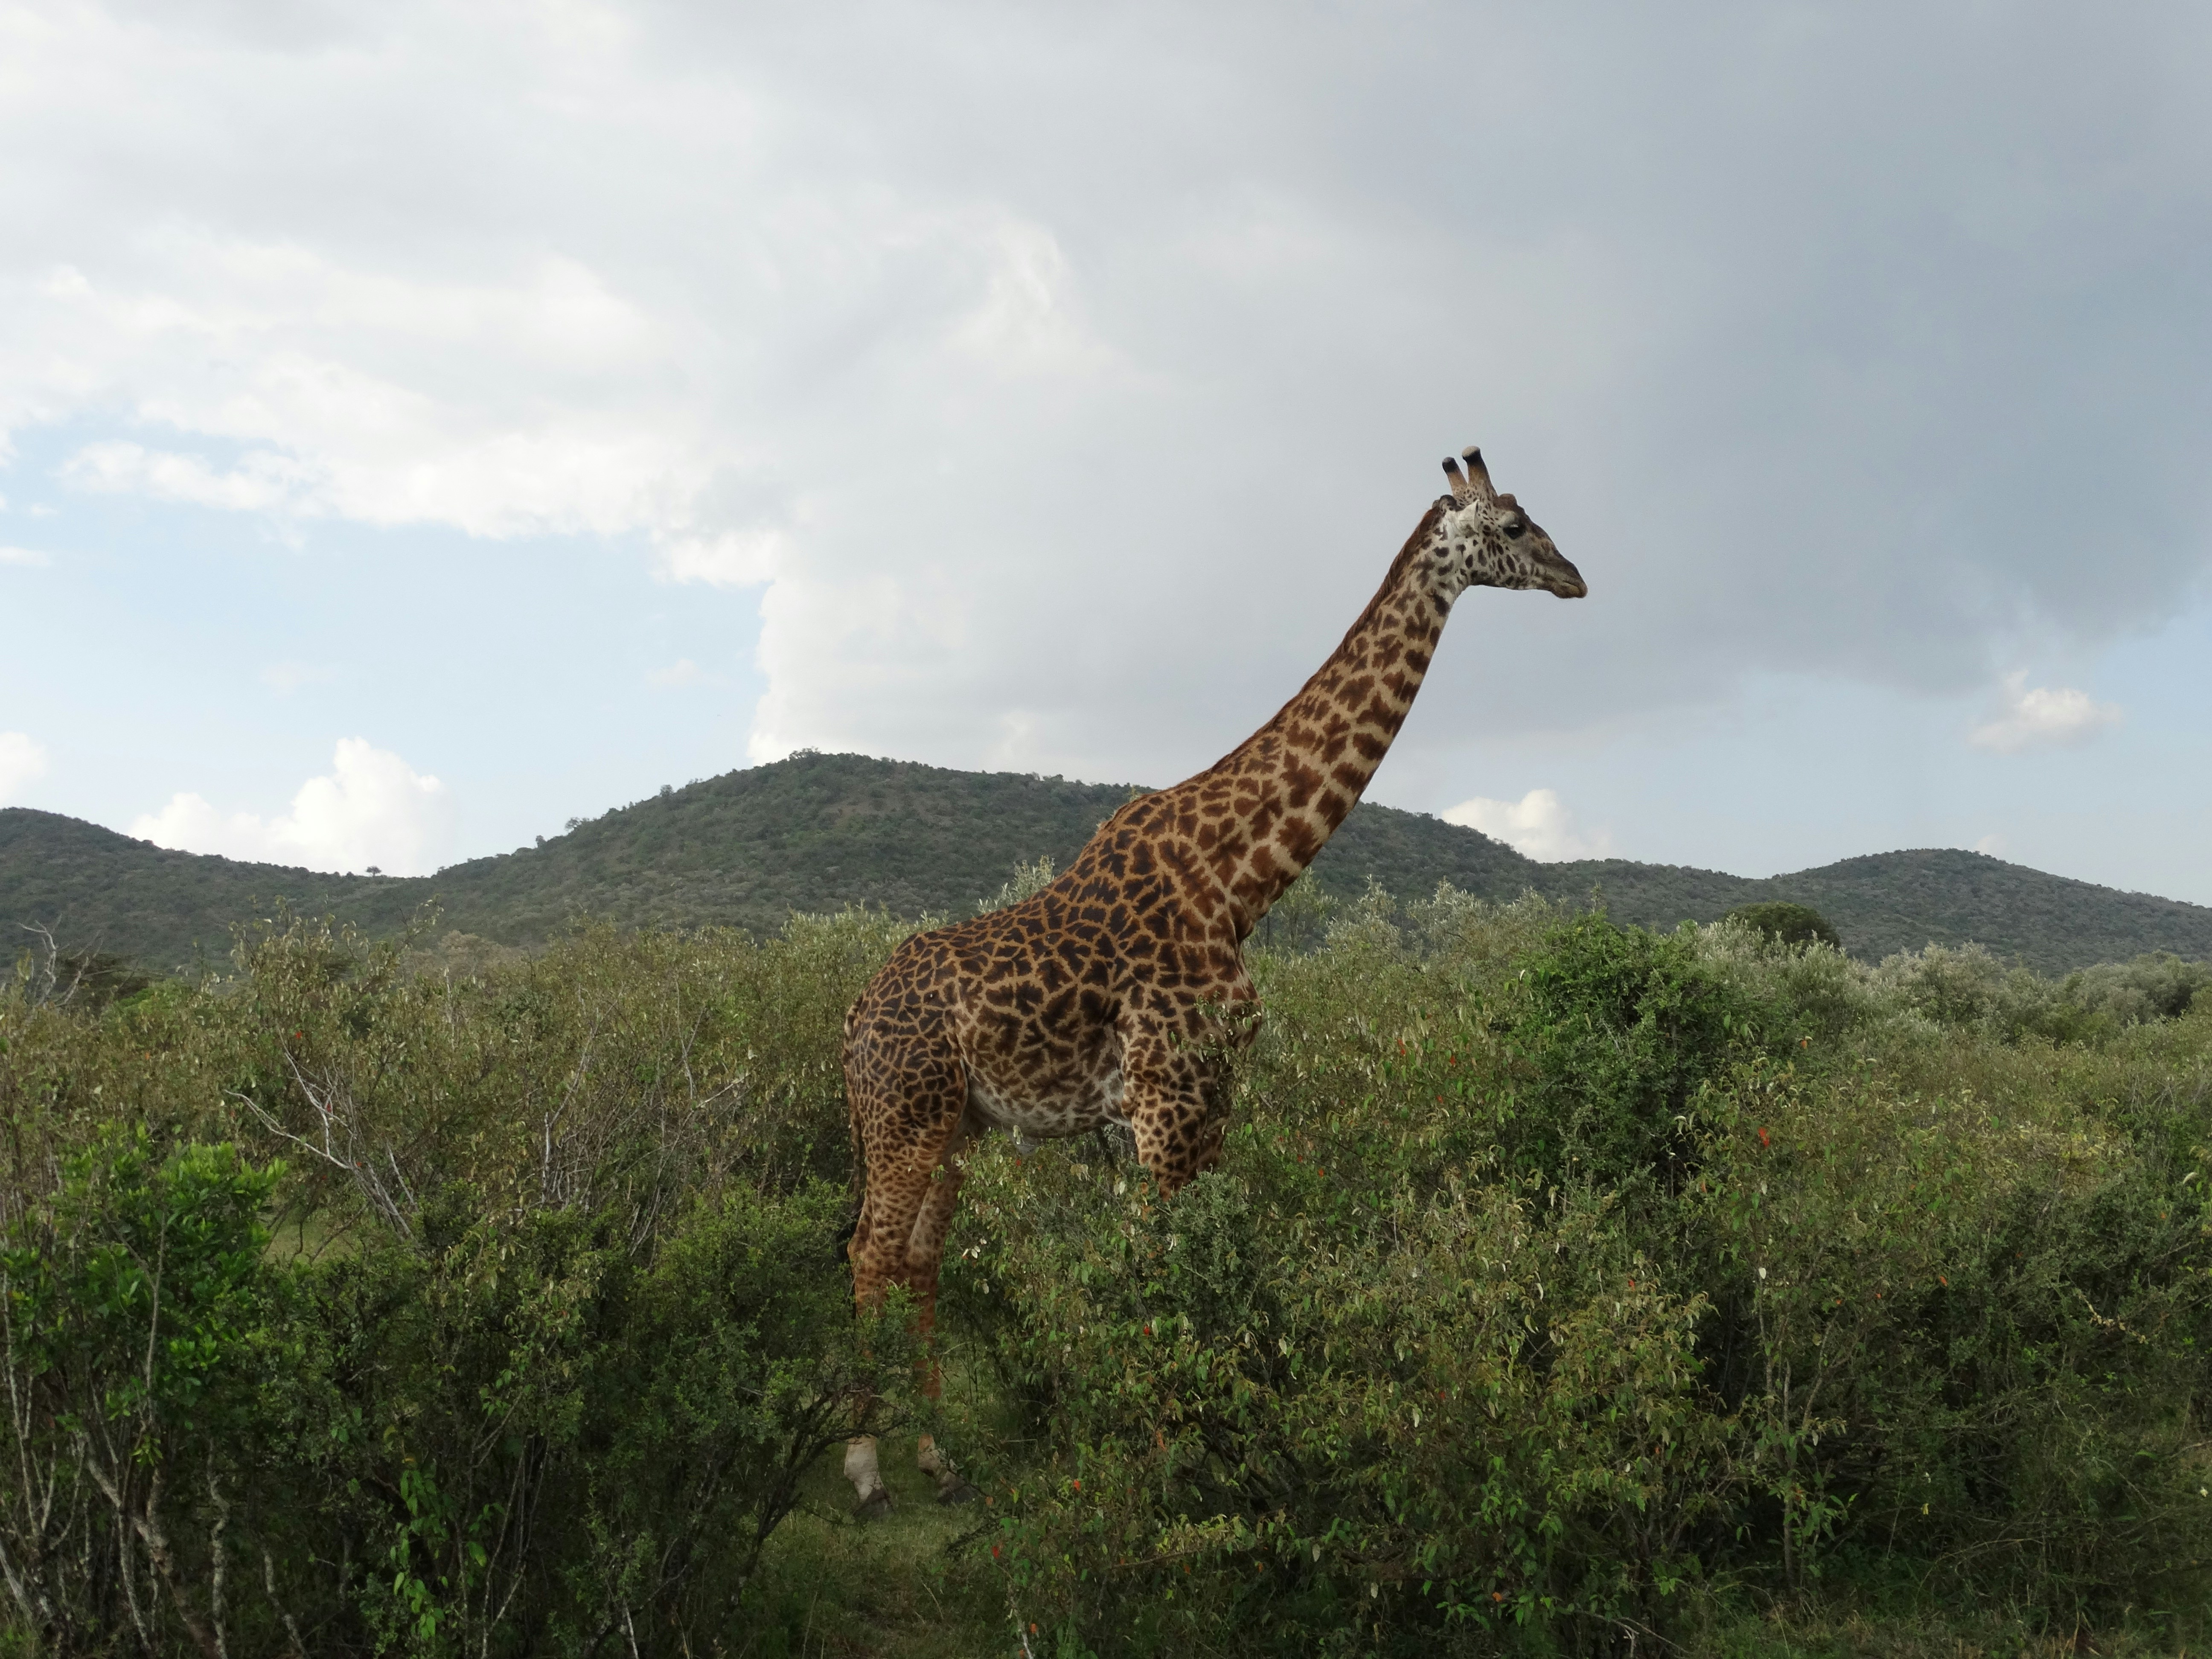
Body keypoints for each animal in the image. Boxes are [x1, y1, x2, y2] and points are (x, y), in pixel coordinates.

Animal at [839, 446, 1587, 1512]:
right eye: (1518, 527)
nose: (1577, 578)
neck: (1238, 880)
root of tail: (852, 1019)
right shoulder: (1167, 1097)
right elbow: (1163, 1266)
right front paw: (1170, 1466)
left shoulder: (1209, 1097)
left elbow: (1208, 1258)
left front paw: (1210, 1439)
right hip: (903, 1113)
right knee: (869, 1249)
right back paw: (865, 1461)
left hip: (954, 1124)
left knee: (914, 1255)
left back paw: (940, 1454)